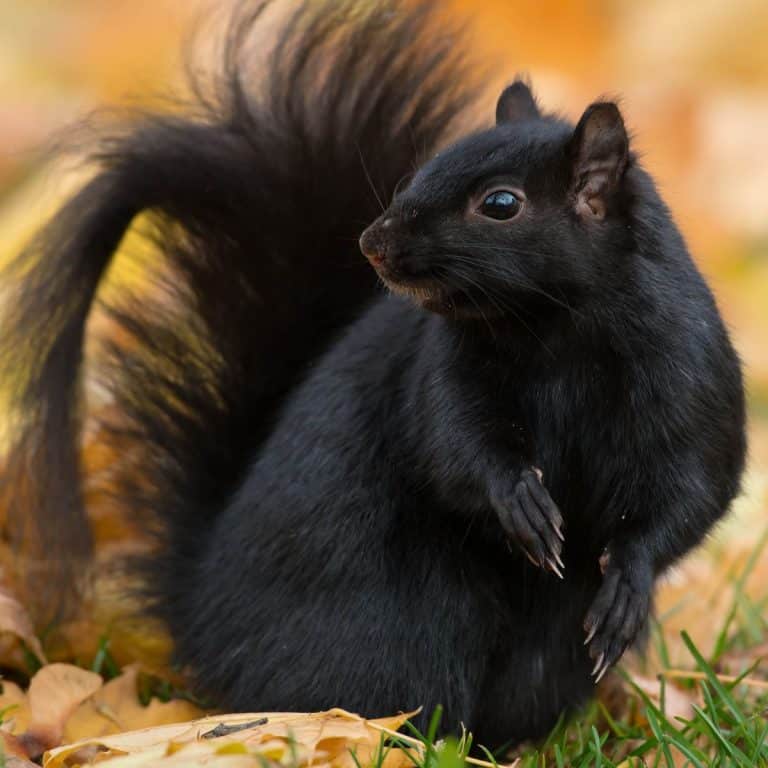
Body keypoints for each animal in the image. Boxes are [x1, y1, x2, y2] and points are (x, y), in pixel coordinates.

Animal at [0, 0, 746, 750]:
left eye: (501, 204)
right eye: (417, 174)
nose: (373, 243)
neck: (555, 329)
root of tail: (201, 618)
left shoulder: (688, 376)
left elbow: (690, 493)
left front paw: (627, 584)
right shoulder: (442, 374)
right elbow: (456, 448)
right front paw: (521, 504)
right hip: (391, 631)